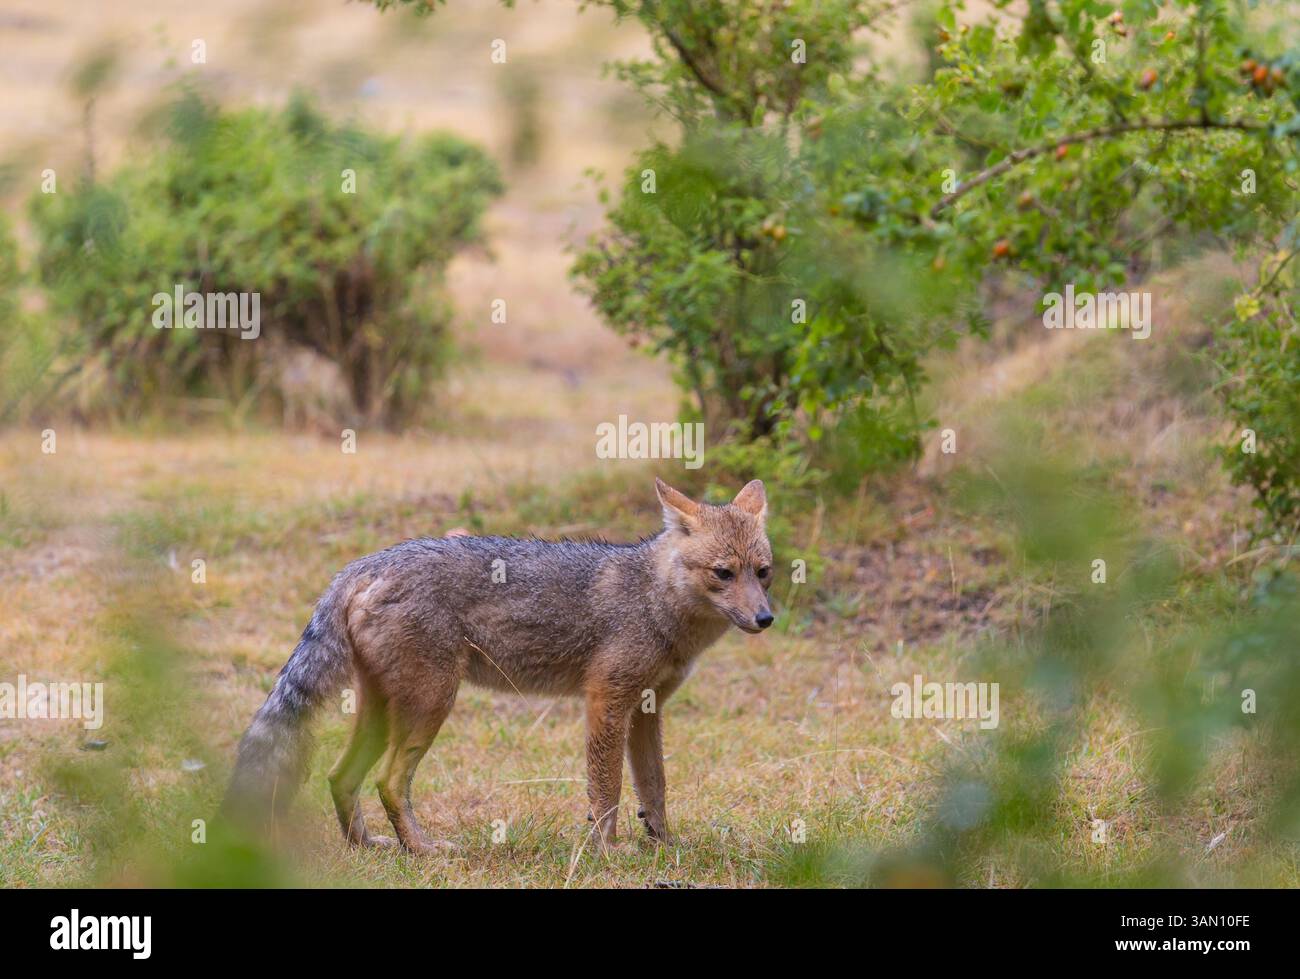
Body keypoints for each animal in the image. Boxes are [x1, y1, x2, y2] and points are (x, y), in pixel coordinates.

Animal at [224, 477, 773, 851]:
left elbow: (654, 787)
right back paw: (422, 850)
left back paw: (372, 848)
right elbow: (607, 790)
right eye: (723, 573)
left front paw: (664, 847)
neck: (655, 602)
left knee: (340, 776)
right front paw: (606, 852)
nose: (766, 618)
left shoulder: (646, 709)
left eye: (763, 572)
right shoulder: (606, 701)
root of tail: (364, 564)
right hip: (432, 705)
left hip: (384, 713)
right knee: (387, 782)